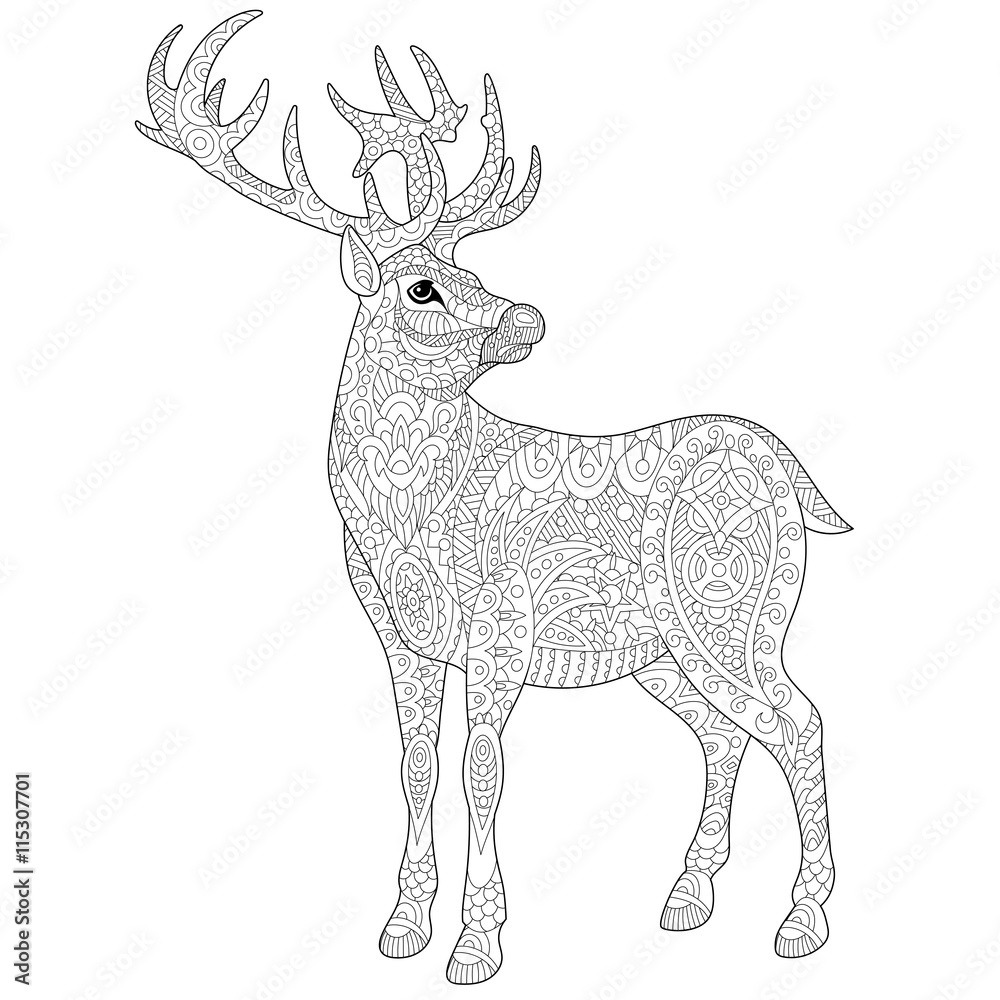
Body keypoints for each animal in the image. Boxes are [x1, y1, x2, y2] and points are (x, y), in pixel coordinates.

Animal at [138, 11, 851, 984]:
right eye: (425, 284)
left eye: (472, 272)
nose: (527, 316)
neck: (408, 521)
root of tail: (784, 467)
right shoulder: (398, 631)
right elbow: (417, 763)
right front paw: (403, 924)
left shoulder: (504, 619)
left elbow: (484, 767)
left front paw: (476, 942)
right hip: (666, 648)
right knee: (726, 732)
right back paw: (687, 897)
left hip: (734, 605)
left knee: (797, 719)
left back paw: (803, 918)